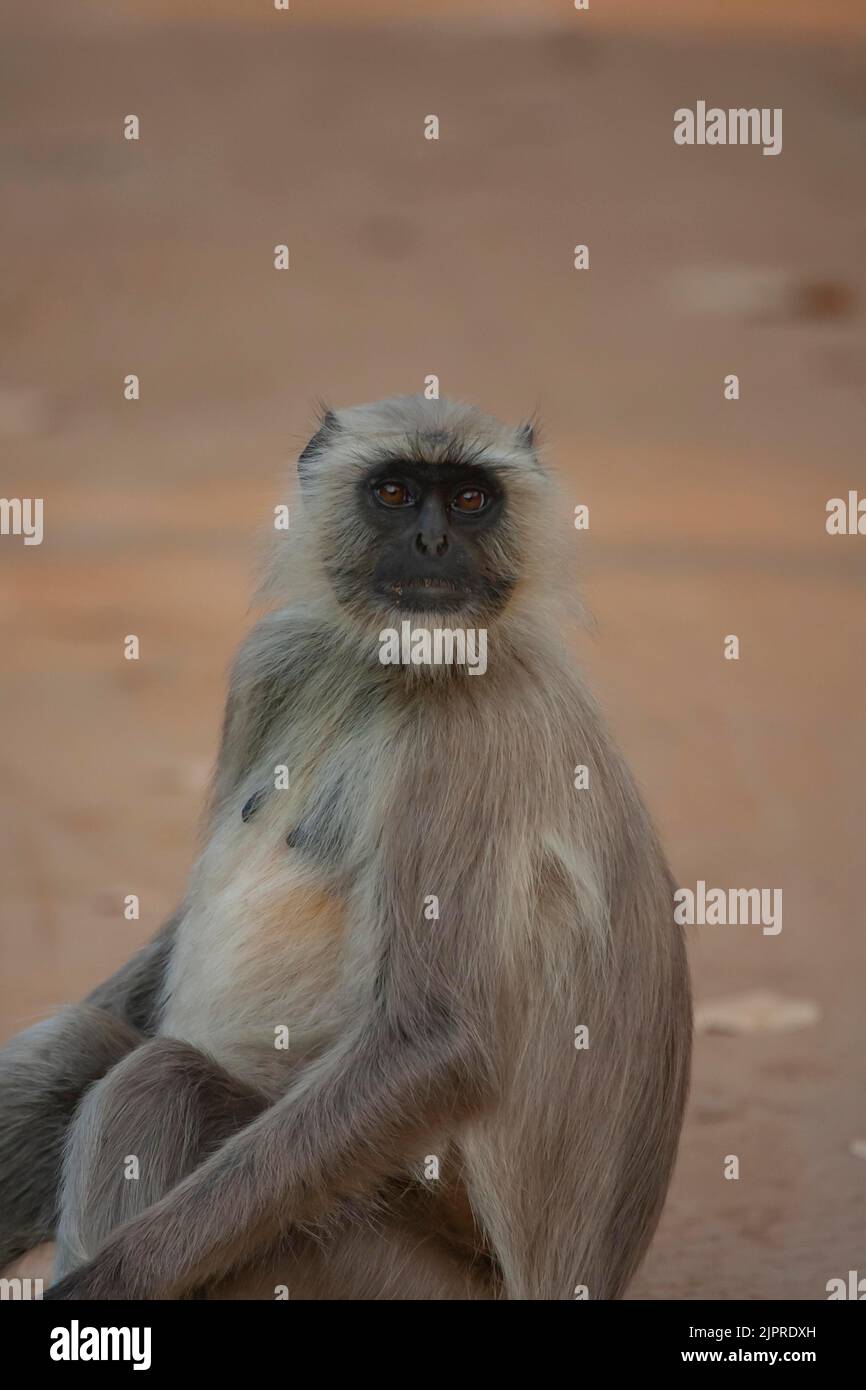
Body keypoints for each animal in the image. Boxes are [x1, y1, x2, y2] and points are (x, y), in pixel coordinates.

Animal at [0, 395, 691, 1300]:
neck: (396, 668)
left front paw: (108, 1282)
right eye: (394, 492)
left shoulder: (463, 736)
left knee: (158, 1083)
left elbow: (437, 1046)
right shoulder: (274, 663)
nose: (433, 544)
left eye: (470, 499)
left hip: (380, 1270)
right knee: (85, 1049)